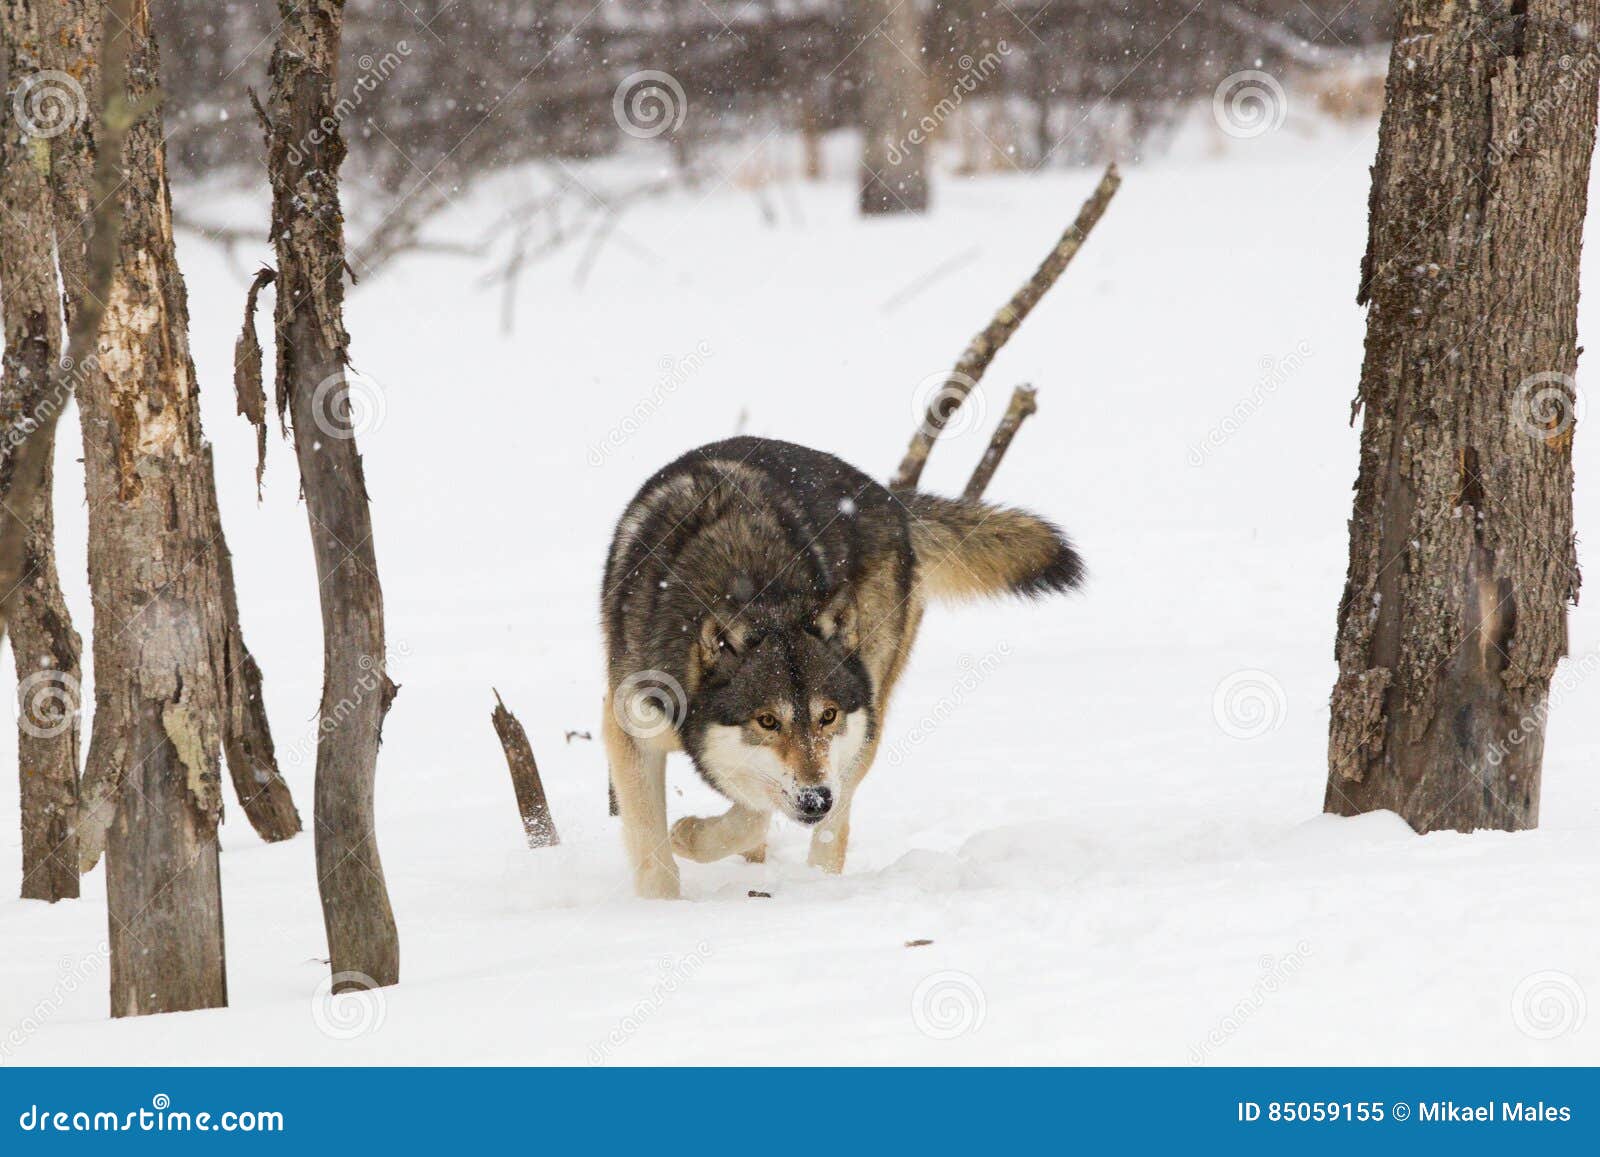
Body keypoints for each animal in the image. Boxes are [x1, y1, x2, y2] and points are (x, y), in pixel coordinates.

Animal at [601, 436, 1082, 898]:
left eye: (827, 715)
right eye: (768, 721)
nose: (815, 800)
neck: (746, 574)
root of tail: (889, 497)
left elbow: (752, 813)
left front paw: (687, 835)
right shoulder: (631, 732)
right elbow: (654, 848)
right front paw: (662, 906)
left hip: (864, 730)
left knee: (834, 829)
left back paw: (817, 885)